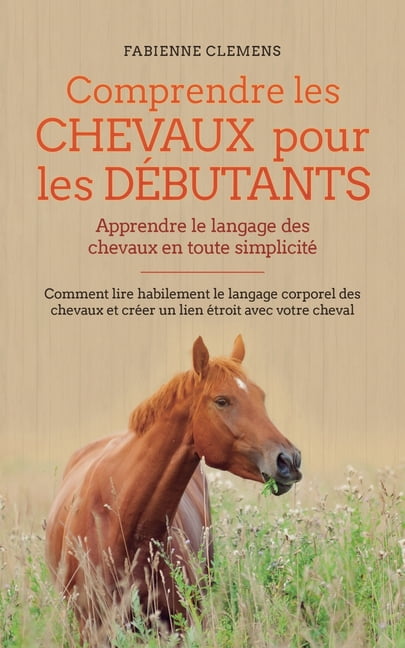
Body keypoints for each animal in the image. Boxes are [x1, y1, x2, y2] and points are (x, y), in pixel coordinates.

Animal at [45, 335, 302, 644]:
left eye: (260, 396)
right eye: (222, 400)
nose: (288, 460)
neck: (123, 525)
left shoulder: (178, 627)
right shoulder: (93, 629)